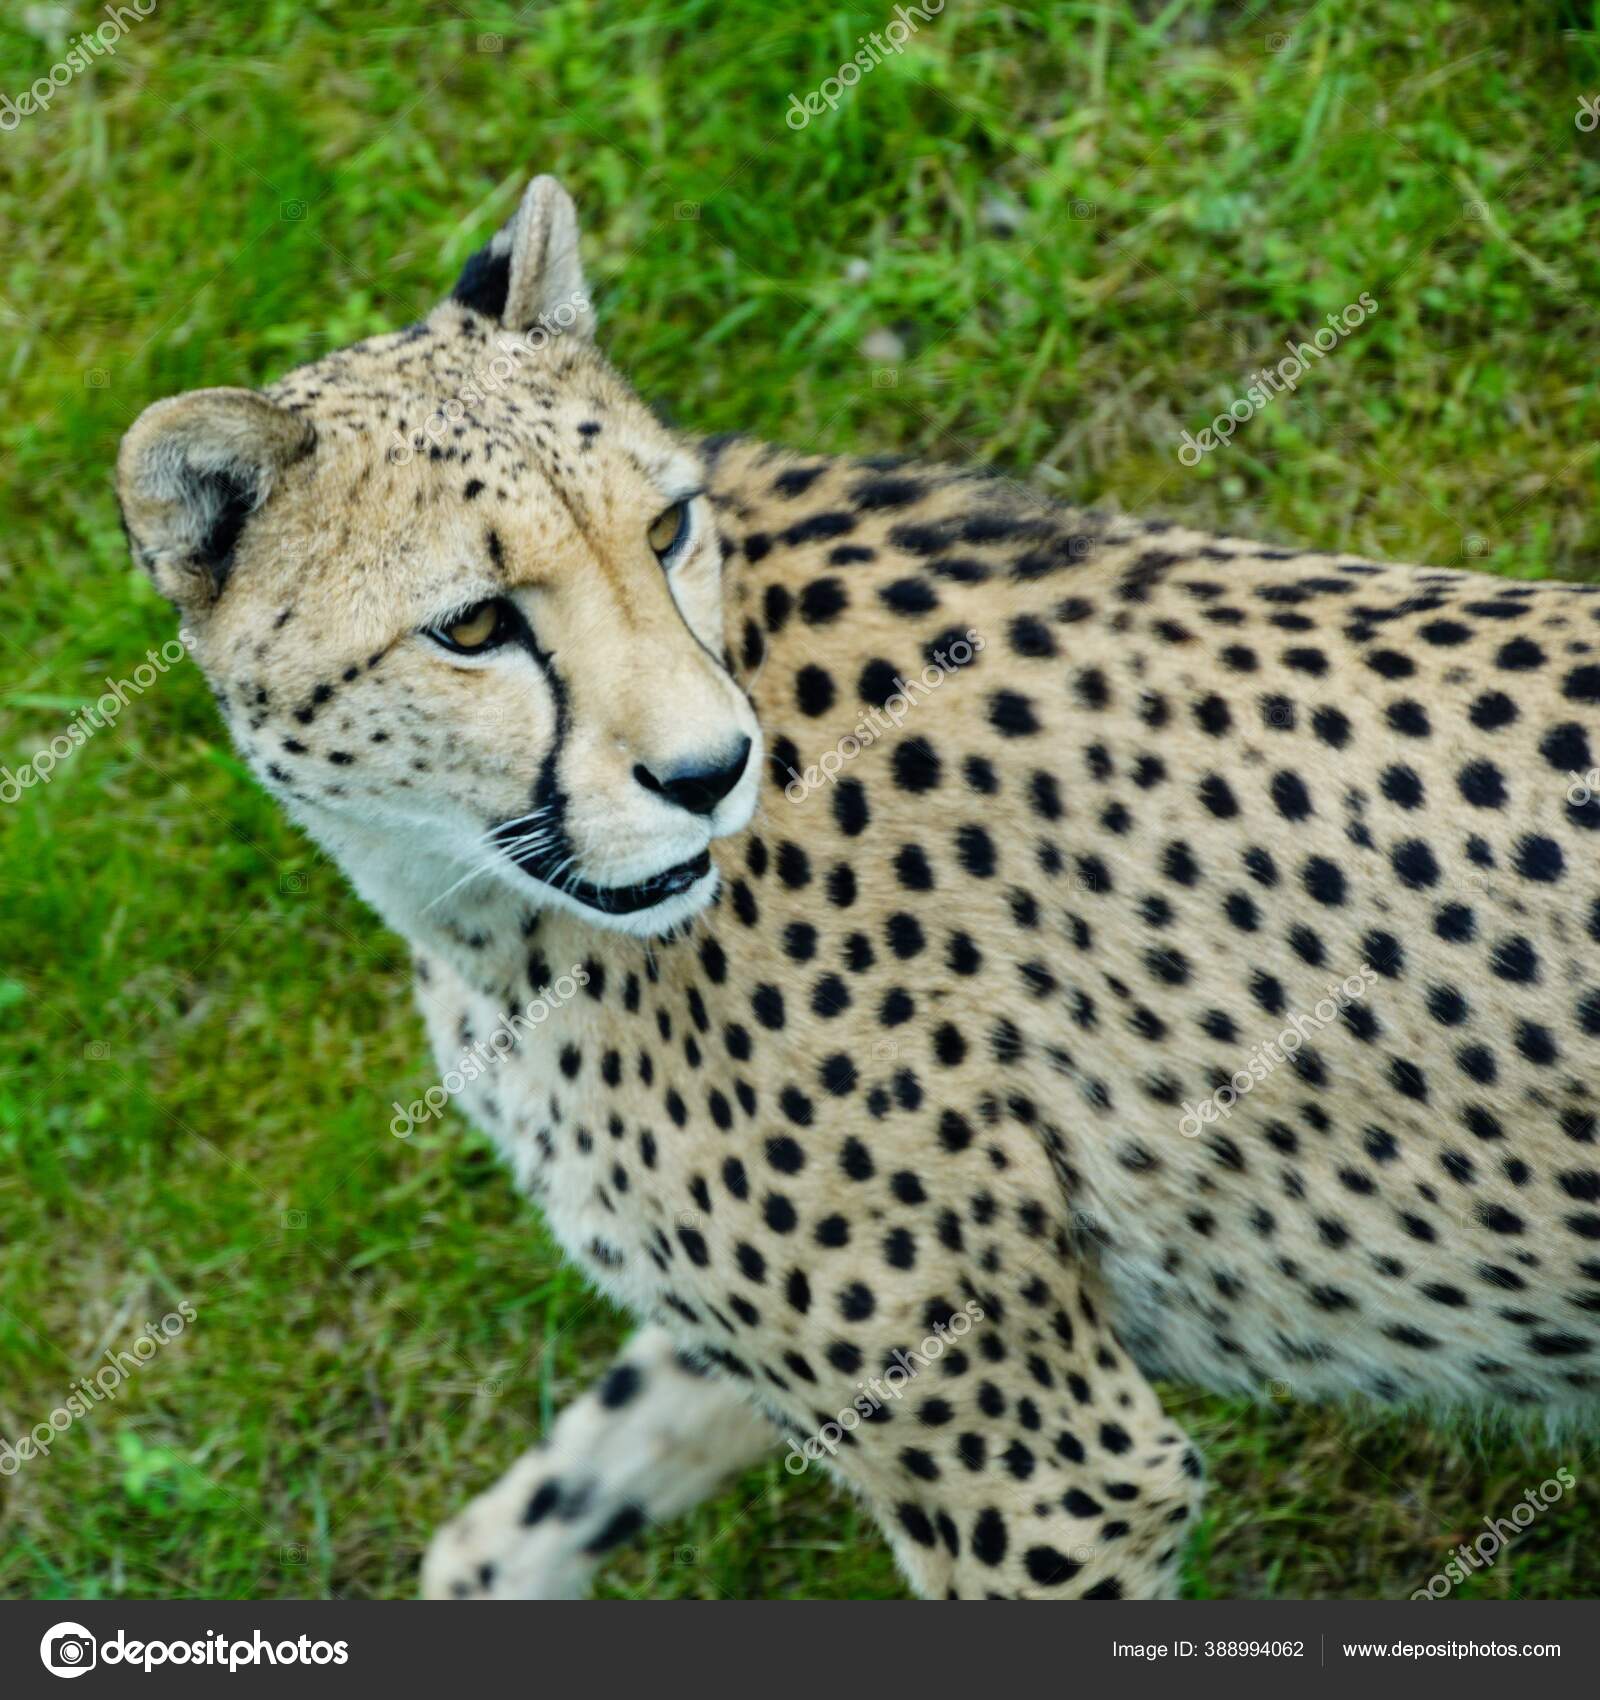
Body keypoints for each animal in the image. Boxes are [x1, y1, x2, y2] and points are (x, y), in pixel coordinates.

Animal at [115, 174, 1600, 1602]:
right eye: (473, 624)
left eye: (666, 528)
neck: (480, 897)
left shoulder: (1057, 1477)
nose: (712, 771)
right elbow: (521, 1519)